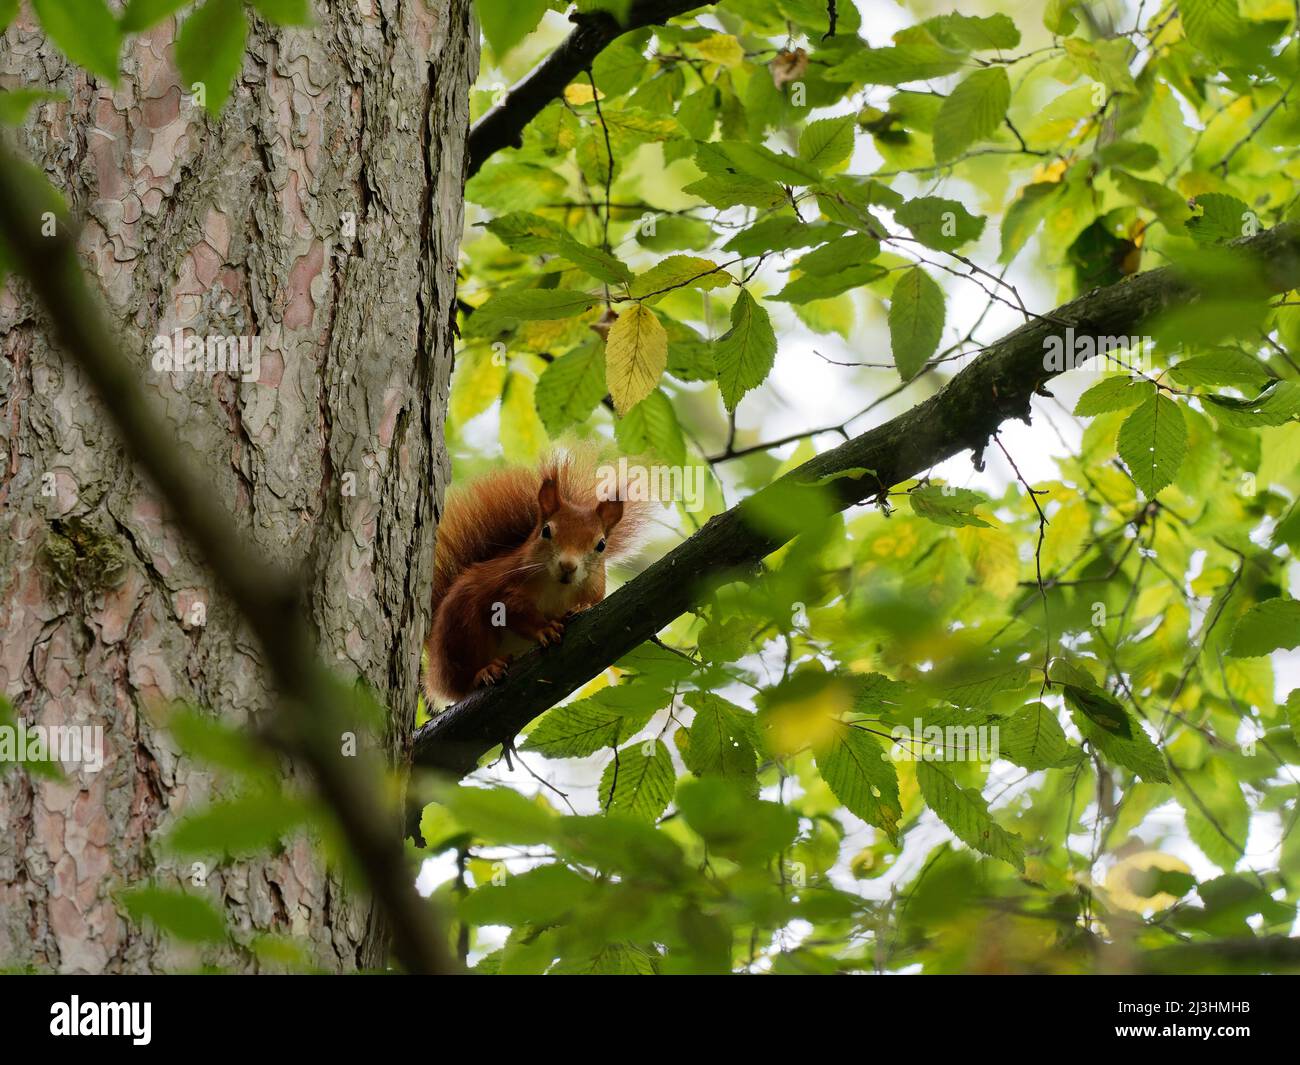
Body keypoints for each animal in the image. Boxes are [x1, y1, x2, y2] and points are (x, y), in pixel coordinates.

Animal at [422, 448, 650, 704]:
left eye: (601, 544)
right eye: (546, 531)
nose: (568, 566)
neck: (558, 587)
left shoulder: (594, 589)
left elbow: (590, 603)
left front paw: (579, 608)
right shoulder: (504, 589)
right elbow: (517, 613)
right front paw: (545, 629)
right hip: (463, 631)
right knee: (461, 684)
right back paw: (484, 671)